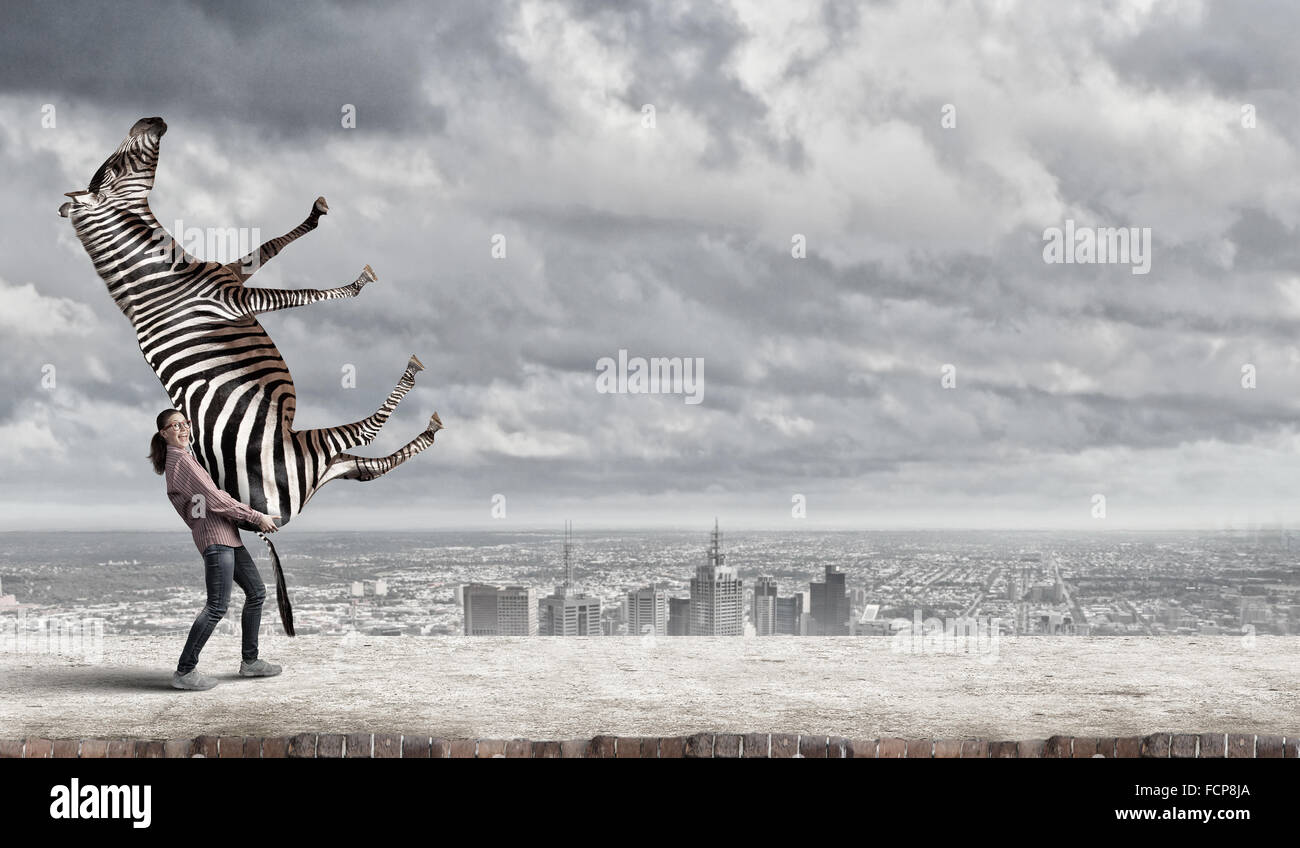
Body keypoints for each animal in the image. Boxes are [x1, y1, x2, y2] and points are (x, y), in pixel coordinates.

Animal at [59, 116, 445, 634]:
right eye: (111, 170)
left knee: (369, 467)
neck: (162, 279)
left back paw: (428, 429)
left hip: (321, 467)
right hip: (308, 454)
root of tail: (259, 518)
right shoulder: (233, 299)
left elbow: (269, 246)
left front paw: (316, 215)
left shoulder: (233, 274)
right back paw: (412, 380)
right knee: (363, 434)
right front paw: (356, 285)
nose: (153, 120)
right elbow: (301, 294)